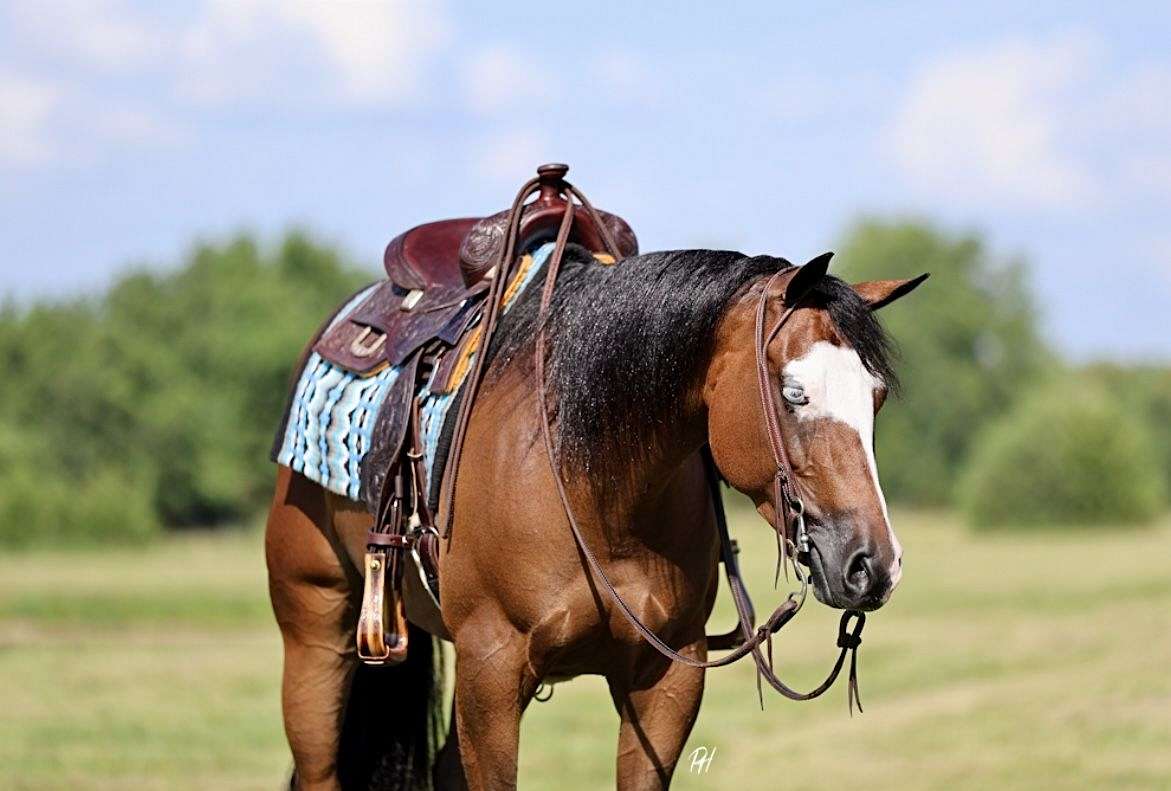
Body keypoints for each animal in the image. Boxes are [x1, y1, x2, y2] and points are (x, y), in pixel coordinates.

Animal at [265, 243, 926, 790]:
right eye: (793, 393)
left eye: (876, 397)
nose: (874, 565)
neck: (595, 494)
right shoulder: (492, 670)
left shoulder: (666, 680)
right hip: (316, 627)